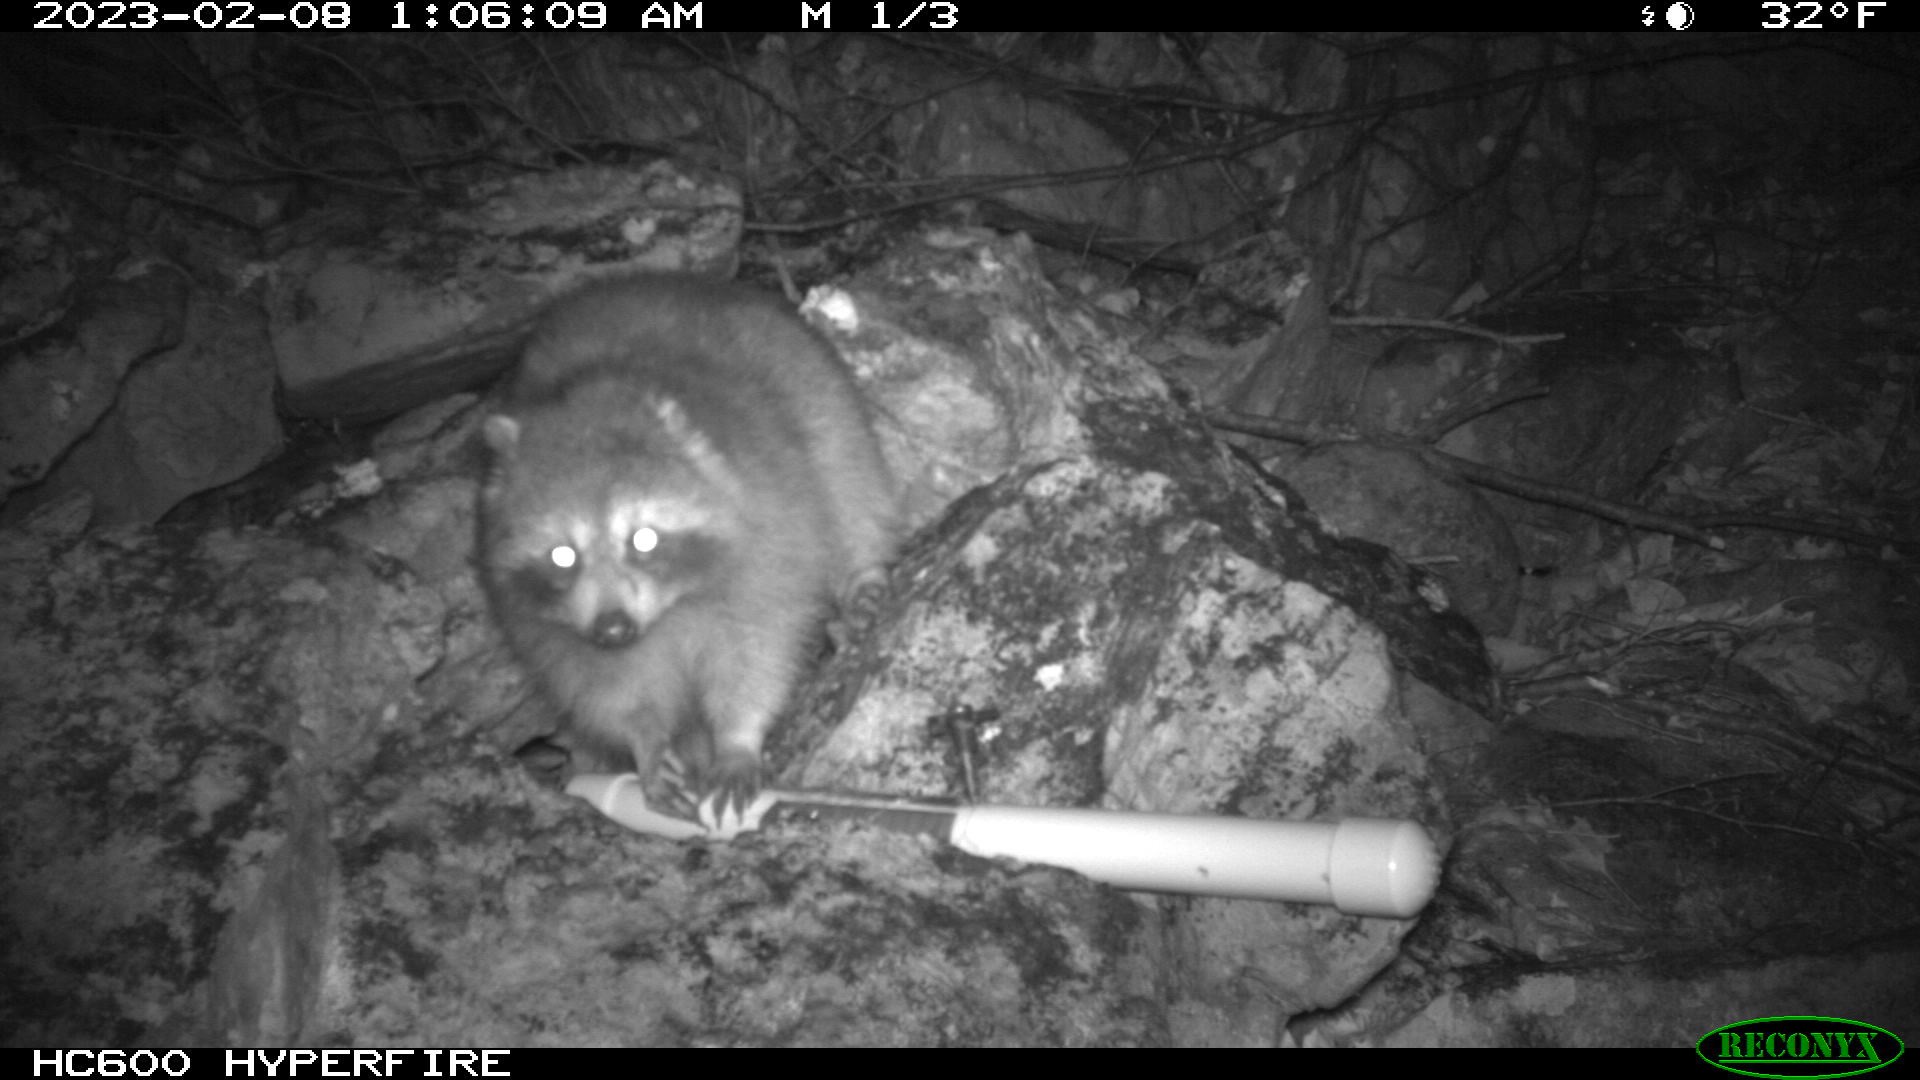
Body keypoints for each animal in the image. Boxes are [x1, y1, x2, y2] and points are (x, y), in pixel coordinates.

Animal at [477, 275, 898, 815]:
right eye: (562, 555)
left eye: (643, 538)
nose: (613, 629)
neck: (668, 610)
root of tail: (688, 283)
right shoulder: (548, 632)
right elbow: (610, 692)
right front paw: (648, 743)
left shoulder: (770, 547)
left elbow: (756, 657)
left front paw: (737, 738)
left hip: (816, 388)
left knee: (848, 482)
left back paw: (860, 573)